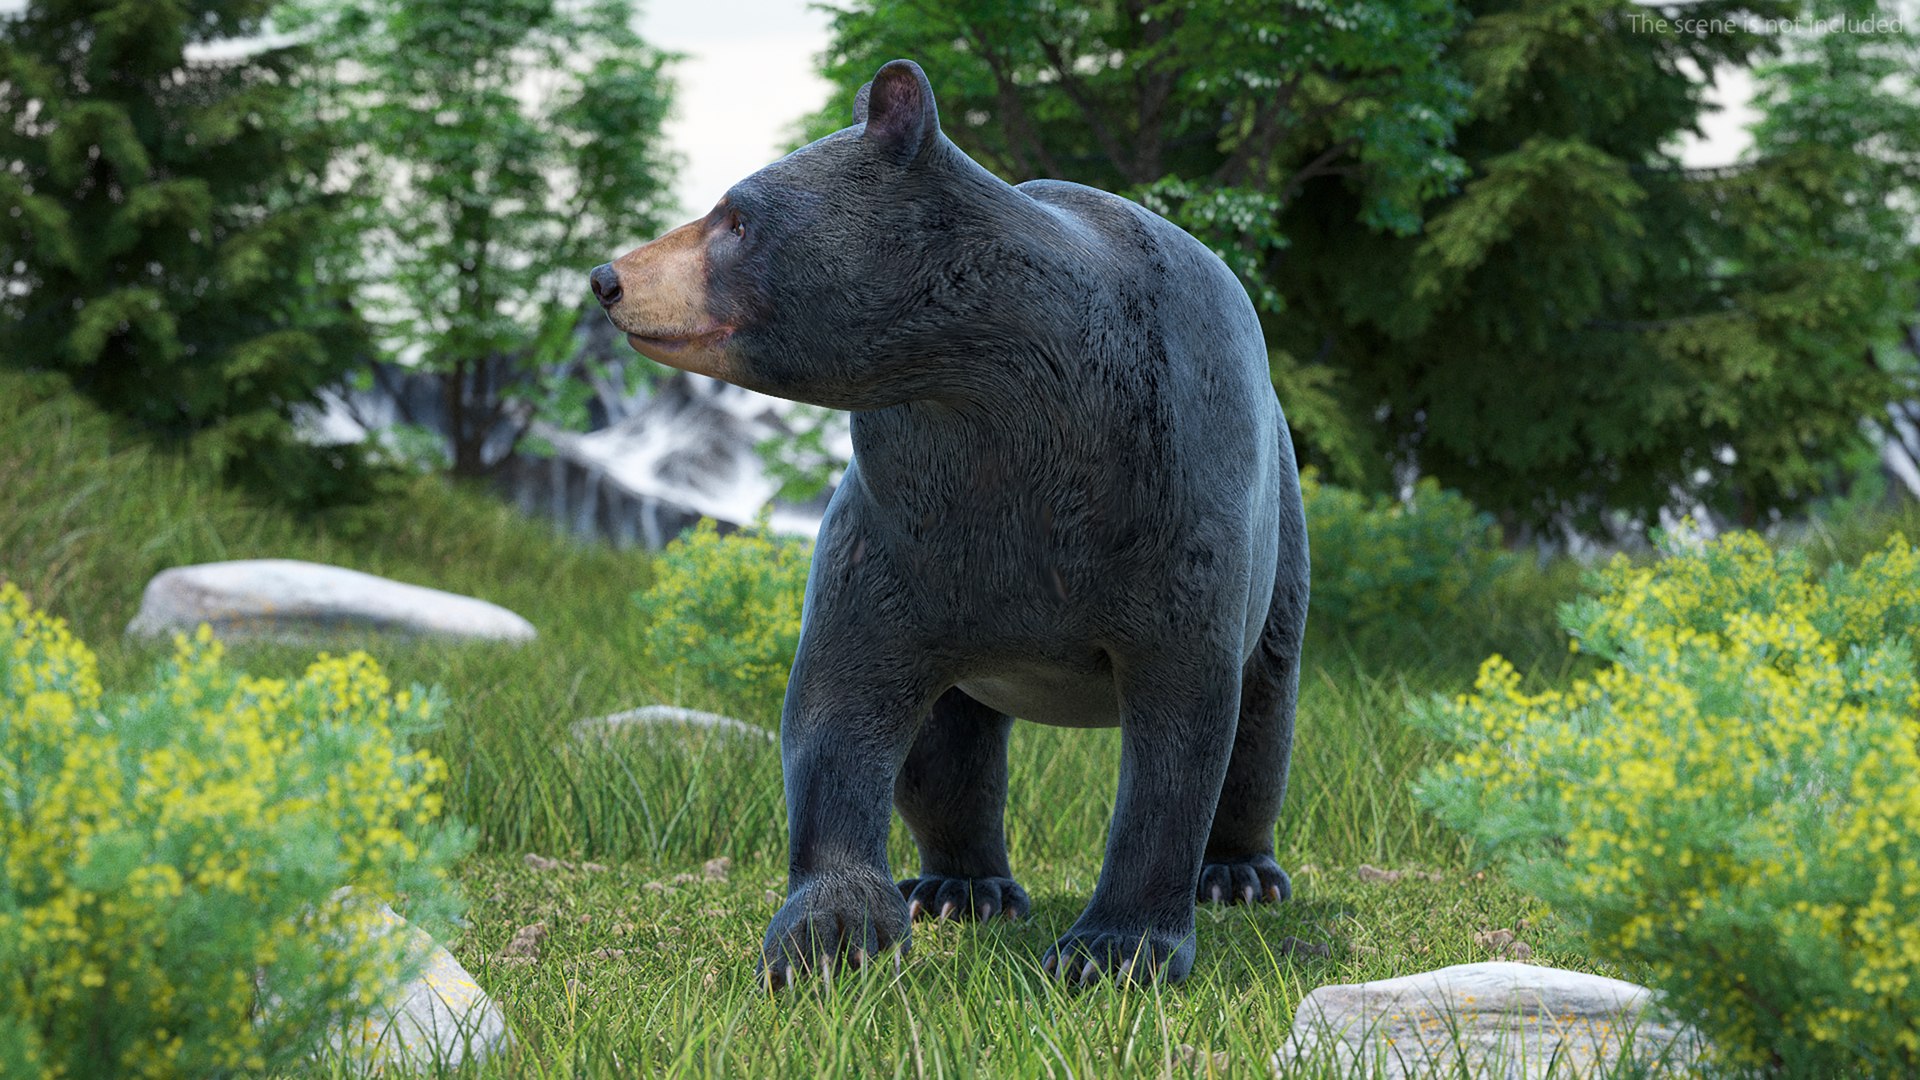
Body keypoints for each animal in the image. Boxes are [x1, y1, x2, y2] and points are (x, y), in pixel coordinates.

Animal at [588, 58, 1309, 988]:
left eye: (736, 217)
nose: (608, 277)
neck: (992, 396)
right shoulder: (910, 525)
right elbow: (839, 703)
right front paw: (830, 930)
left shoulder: (1163, 500)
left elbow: (1180, 723)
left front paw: (1112, 950)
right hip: (963, 629)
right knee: (948, 747)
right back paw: (961, 886)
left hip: (1280, 525)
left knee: (1263, 714)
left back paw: (1239, 872)